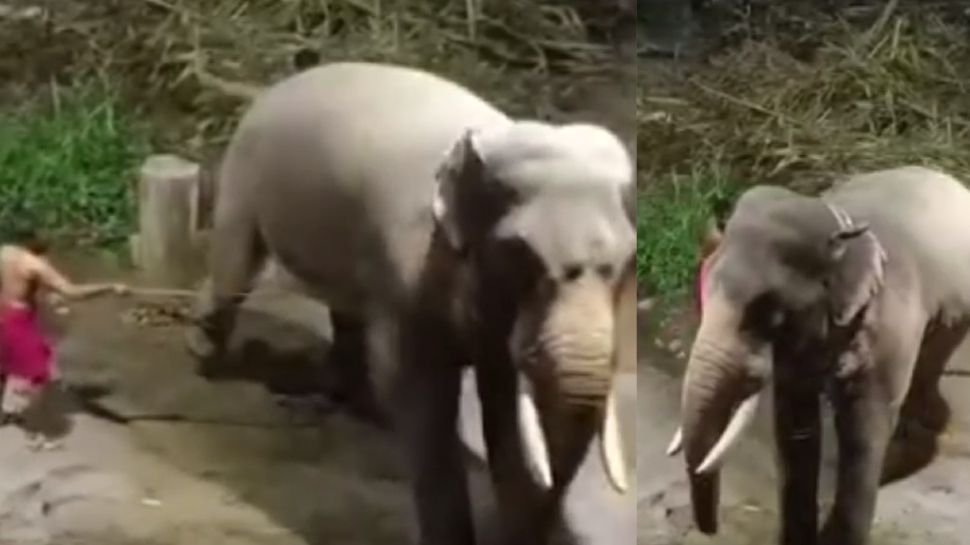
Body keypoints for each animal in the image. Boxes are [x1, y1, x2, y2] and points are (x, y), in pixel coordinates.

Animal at [183, 61, 635, 545]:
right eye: (519, 254)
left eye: (628, 260)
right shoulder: (406, 271)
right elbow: (420, 390)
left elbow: (500, 399)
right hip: (243, 174)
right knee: (235, 268)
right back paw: (207, 360)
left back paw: (357, 403)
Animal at [665, 165, 970, 545]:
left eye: (768, 312)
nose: (710, 530)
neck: (838, 219)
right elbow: (793, 421)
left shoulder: (889, 321)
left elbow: (863, 423)